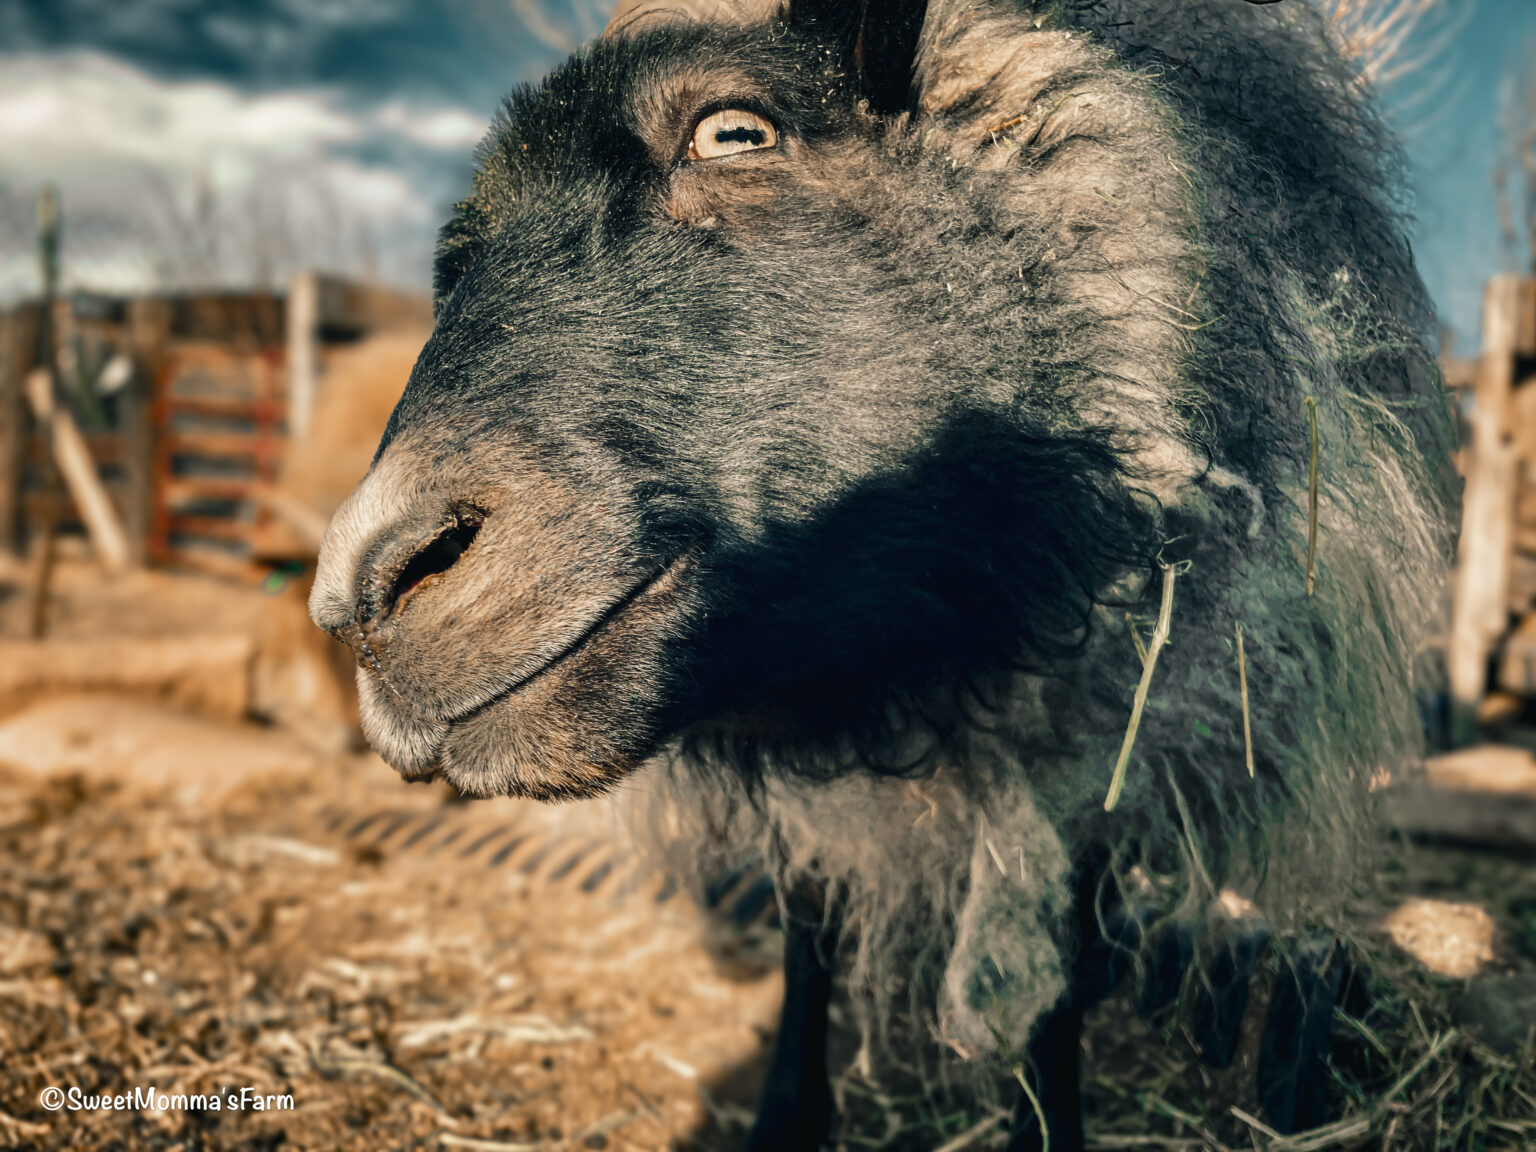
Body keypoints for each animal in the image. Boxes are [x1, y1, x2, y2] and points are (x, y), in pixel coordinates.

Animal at [309, 1, 1457, 1147]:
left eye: (735, 131)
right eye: (454, 262)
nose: (362, 590)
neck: (926, 630)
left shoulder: (1118, 705)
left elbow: (1059, 958)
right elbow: (810, 920)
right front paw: (786, 1113)